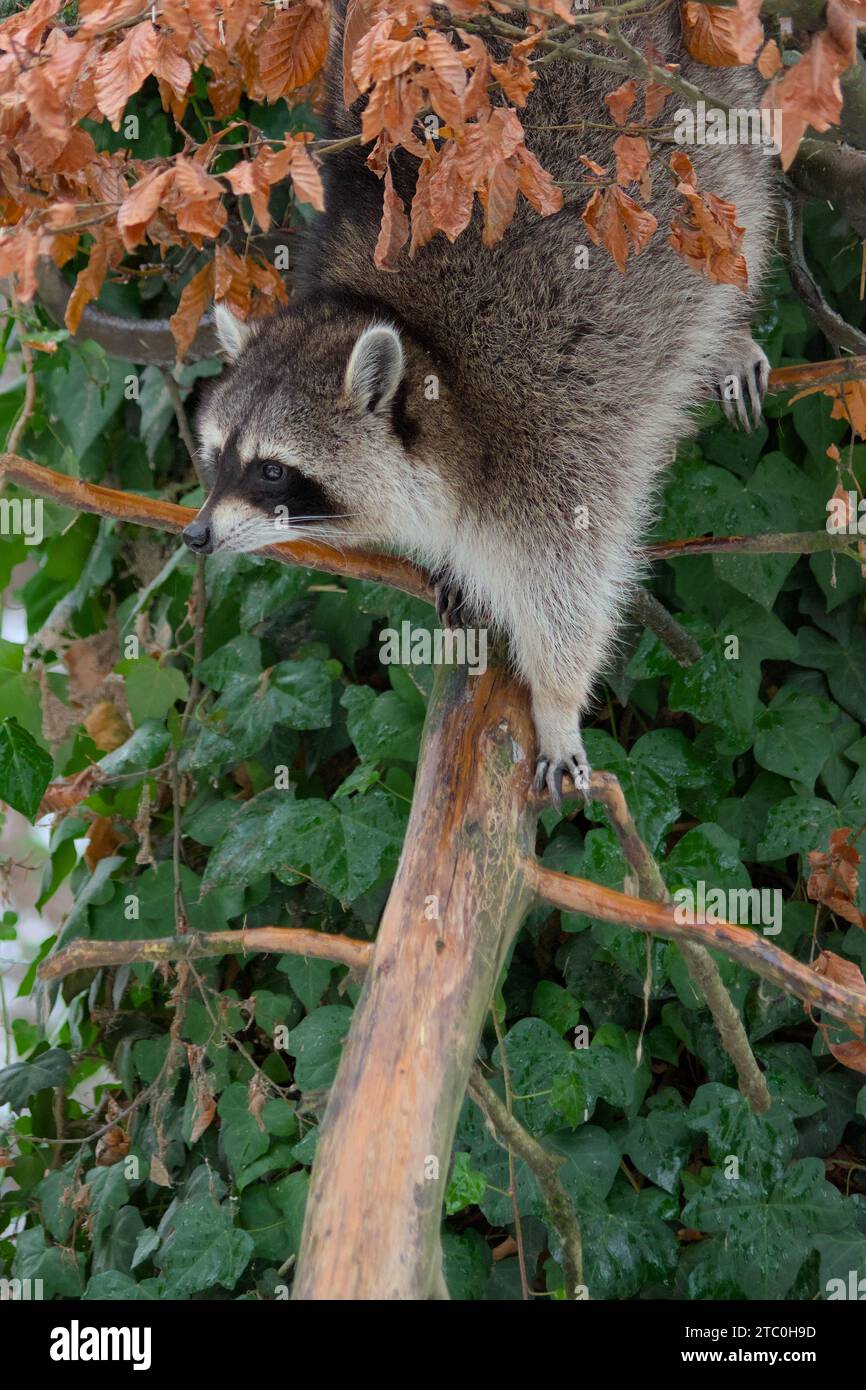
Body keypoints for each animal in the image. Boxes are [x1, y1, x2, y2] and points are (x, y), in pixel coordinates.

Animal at [186, 5, 778, 806]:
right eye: (217, 455)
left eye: (272, 471)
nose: (196, 536)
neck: (426, 357)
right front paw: (451, 566)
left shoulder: (550, 440)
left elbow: (571, 588)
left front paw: (558, 703)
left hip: (706, 123)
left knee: (740, 210)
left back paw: (730, 327)